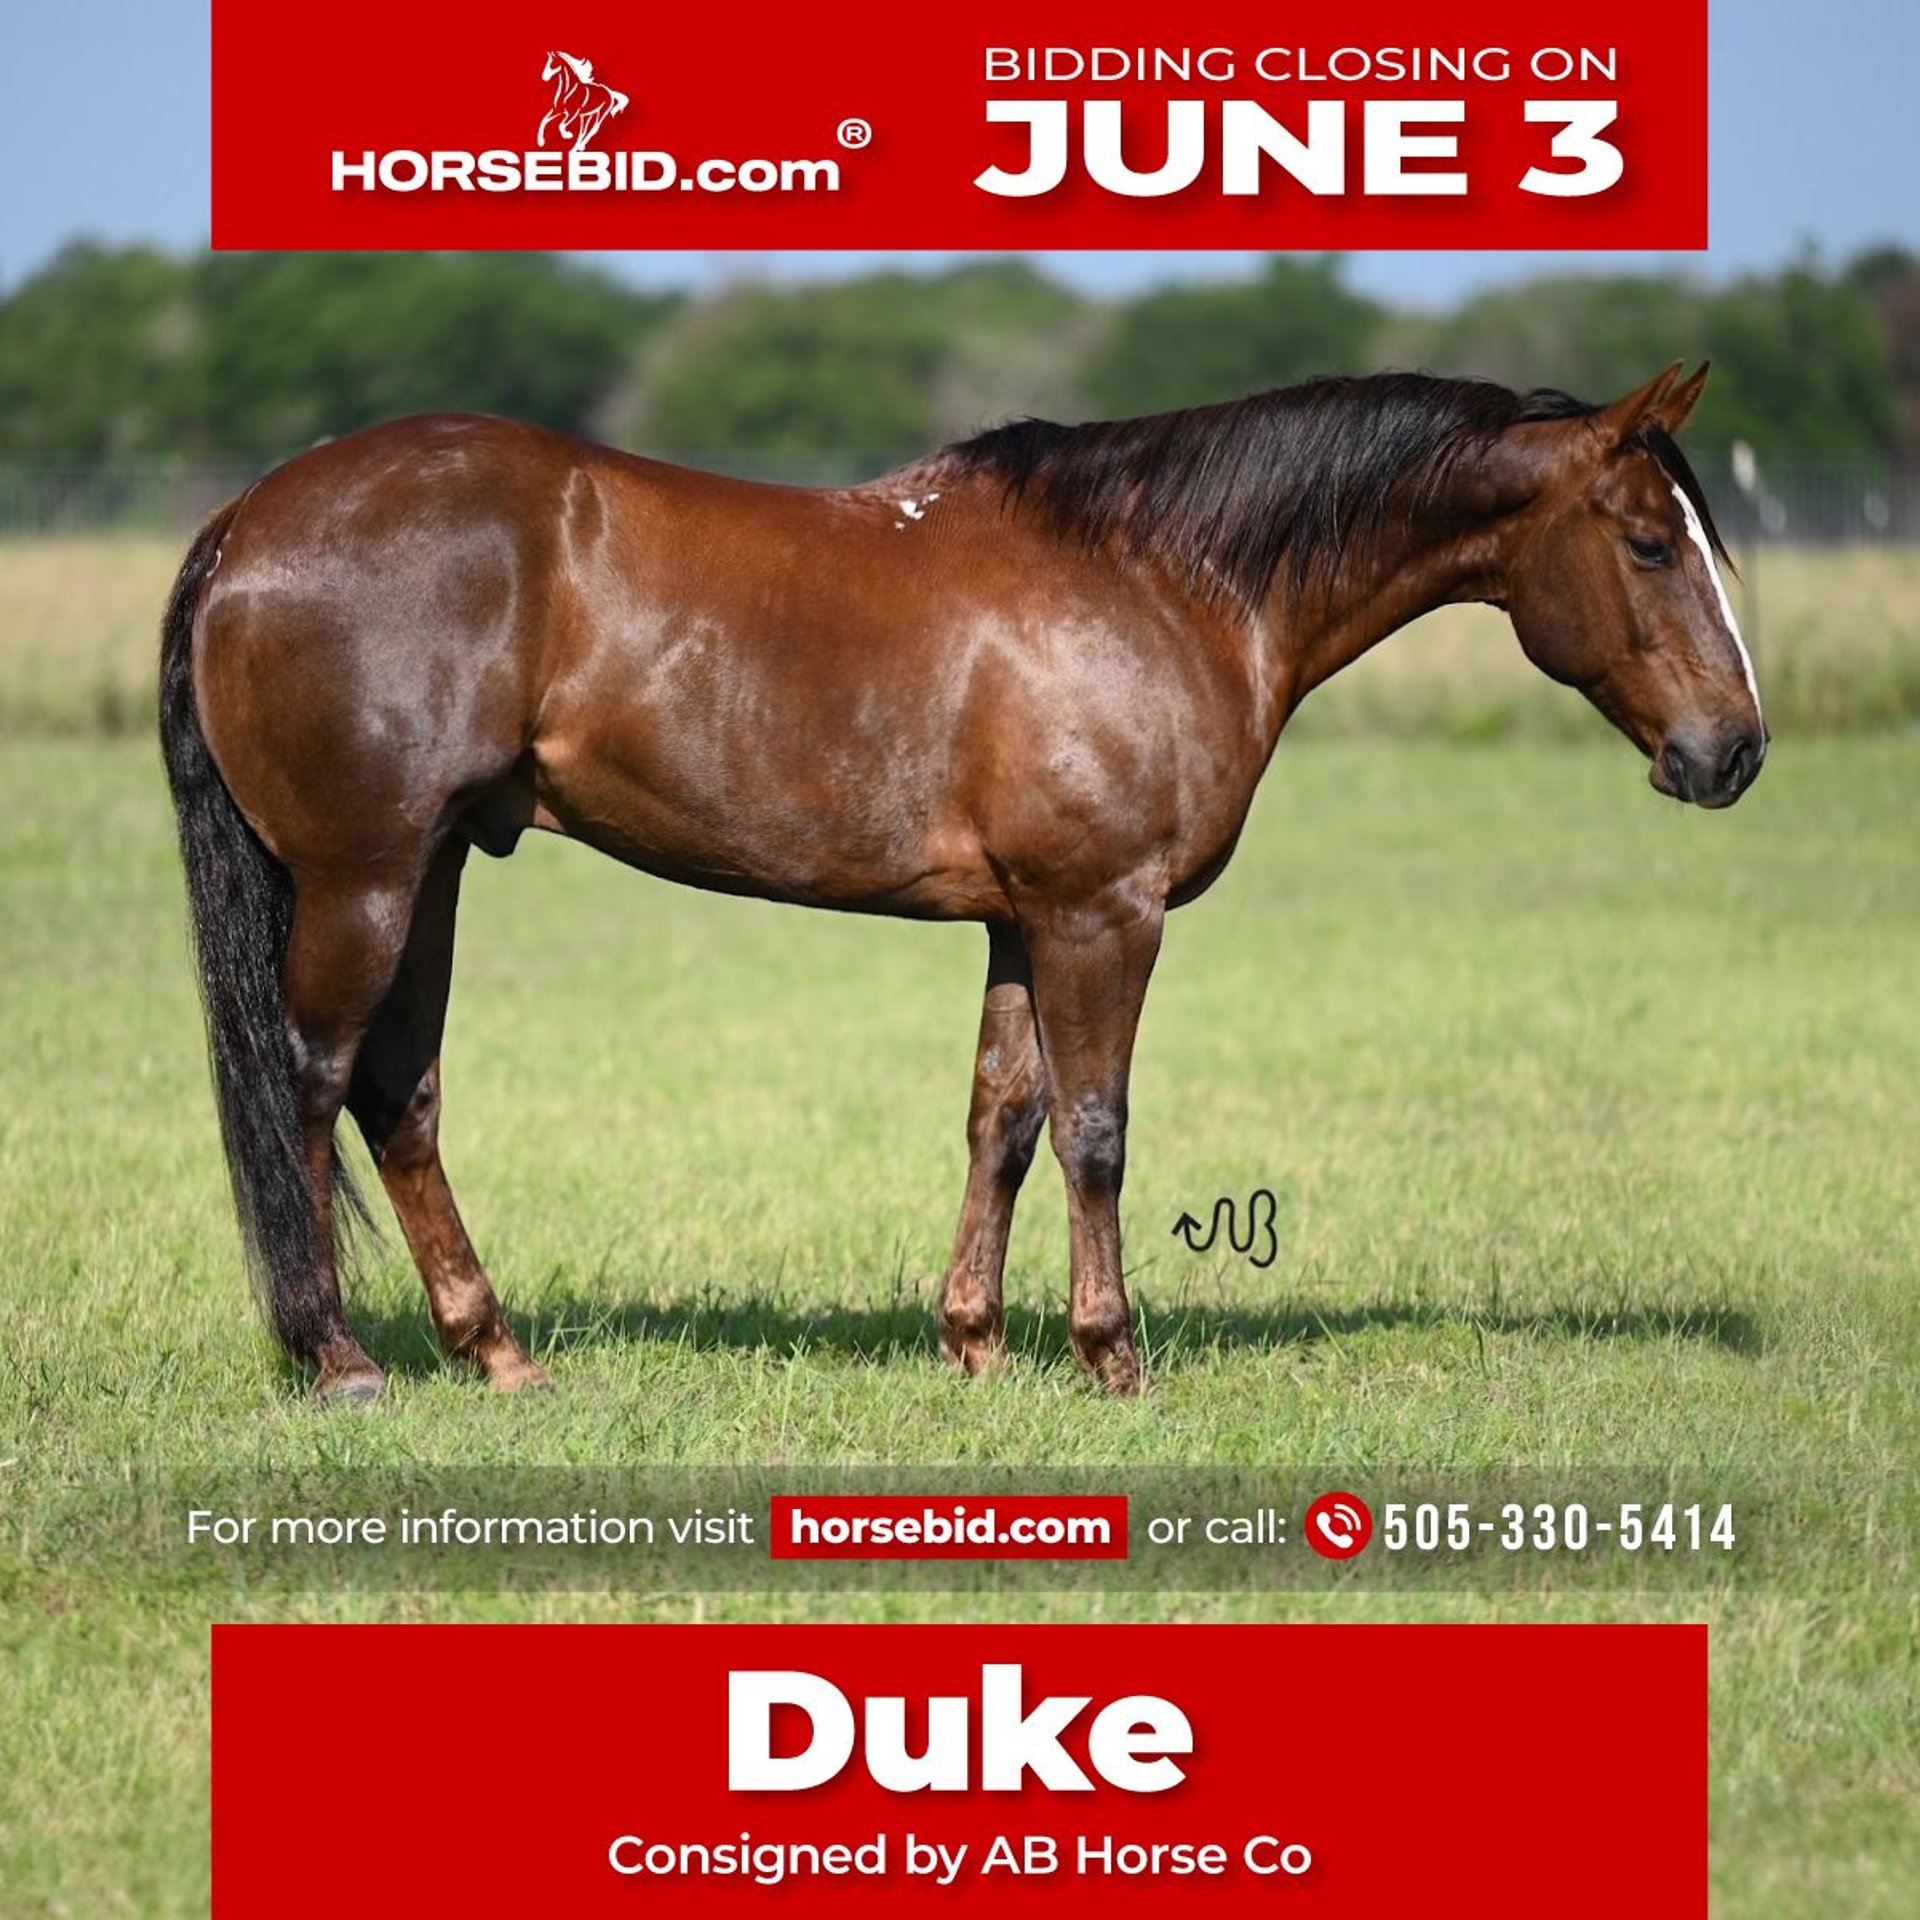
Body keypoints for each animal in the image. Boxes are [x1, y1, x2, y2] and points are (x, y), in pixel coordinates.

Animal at [158, 362, 1764, 1403]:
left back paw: (491, 1348)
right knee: (312, 1080)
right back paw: (338, 1358)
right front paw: (1113, 1356)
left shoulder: (1019, 918)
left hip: (431, 871)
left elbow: (1005, 1121)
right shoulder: (1102, 914)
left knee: (400, 1094)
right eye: (1648, 542)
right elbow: (1099, 1130)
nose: (1734, 751)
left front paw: (976, 1342)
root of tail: (251, 518)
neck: (1159, 579)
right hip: (365, 879)